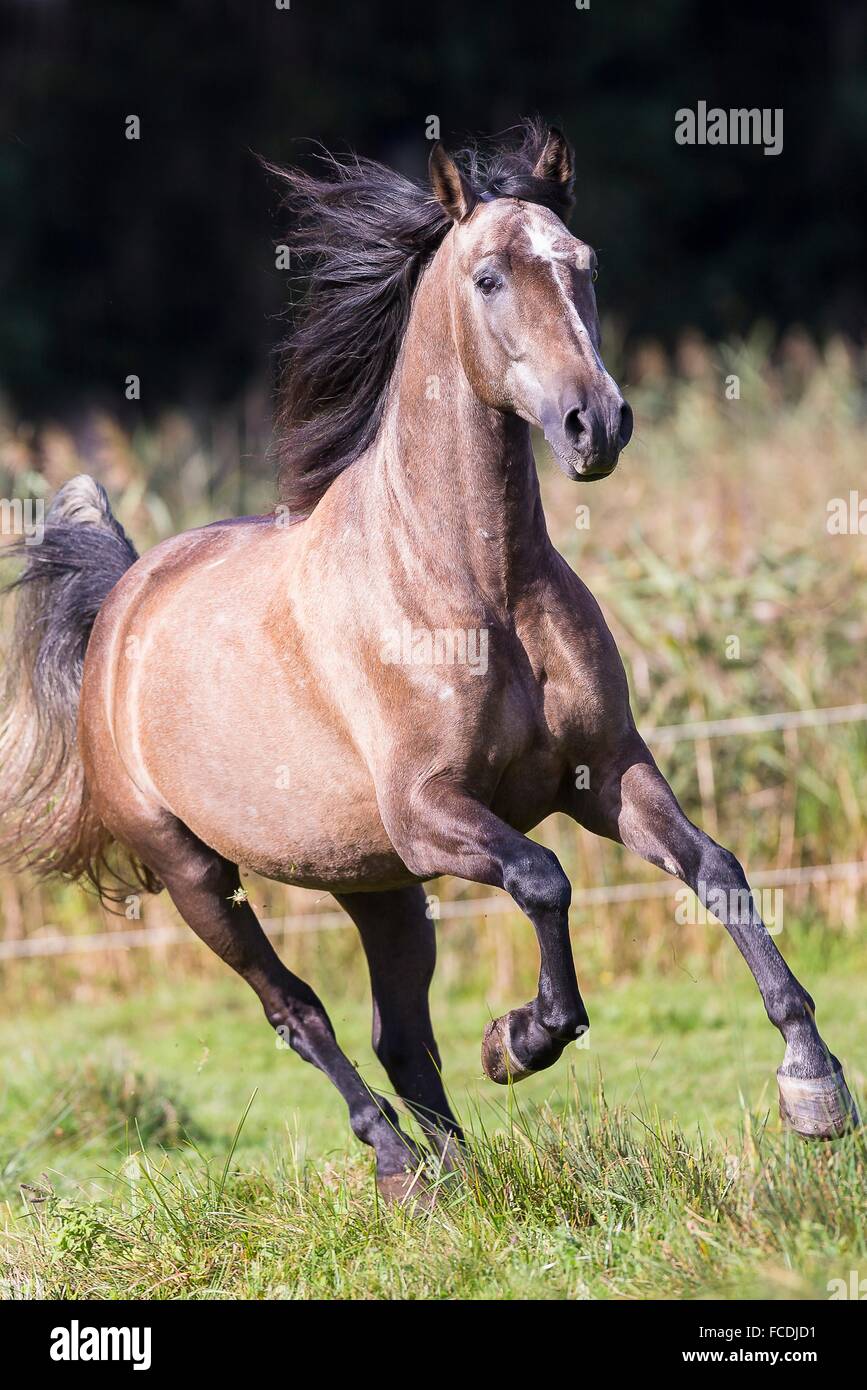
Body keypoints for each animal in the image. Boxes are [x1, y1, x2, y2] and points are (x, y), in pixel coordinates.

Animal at [1, 122, 857, 1204]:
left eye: (584, 267)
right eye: (489, 277)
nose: (595, 423)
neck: (475, 583)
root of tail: (121, 603)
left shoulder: (606, 771)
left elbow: (718, 869)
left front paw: (813, 1083)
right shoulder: (434, 812)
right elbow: (544, 880)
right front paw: (522, 1038)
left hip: (376, 884)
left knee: (398, 1033)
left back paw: (456, 1179)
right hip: (198, 874)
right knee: (299, 1012)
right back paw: (401, 1163)